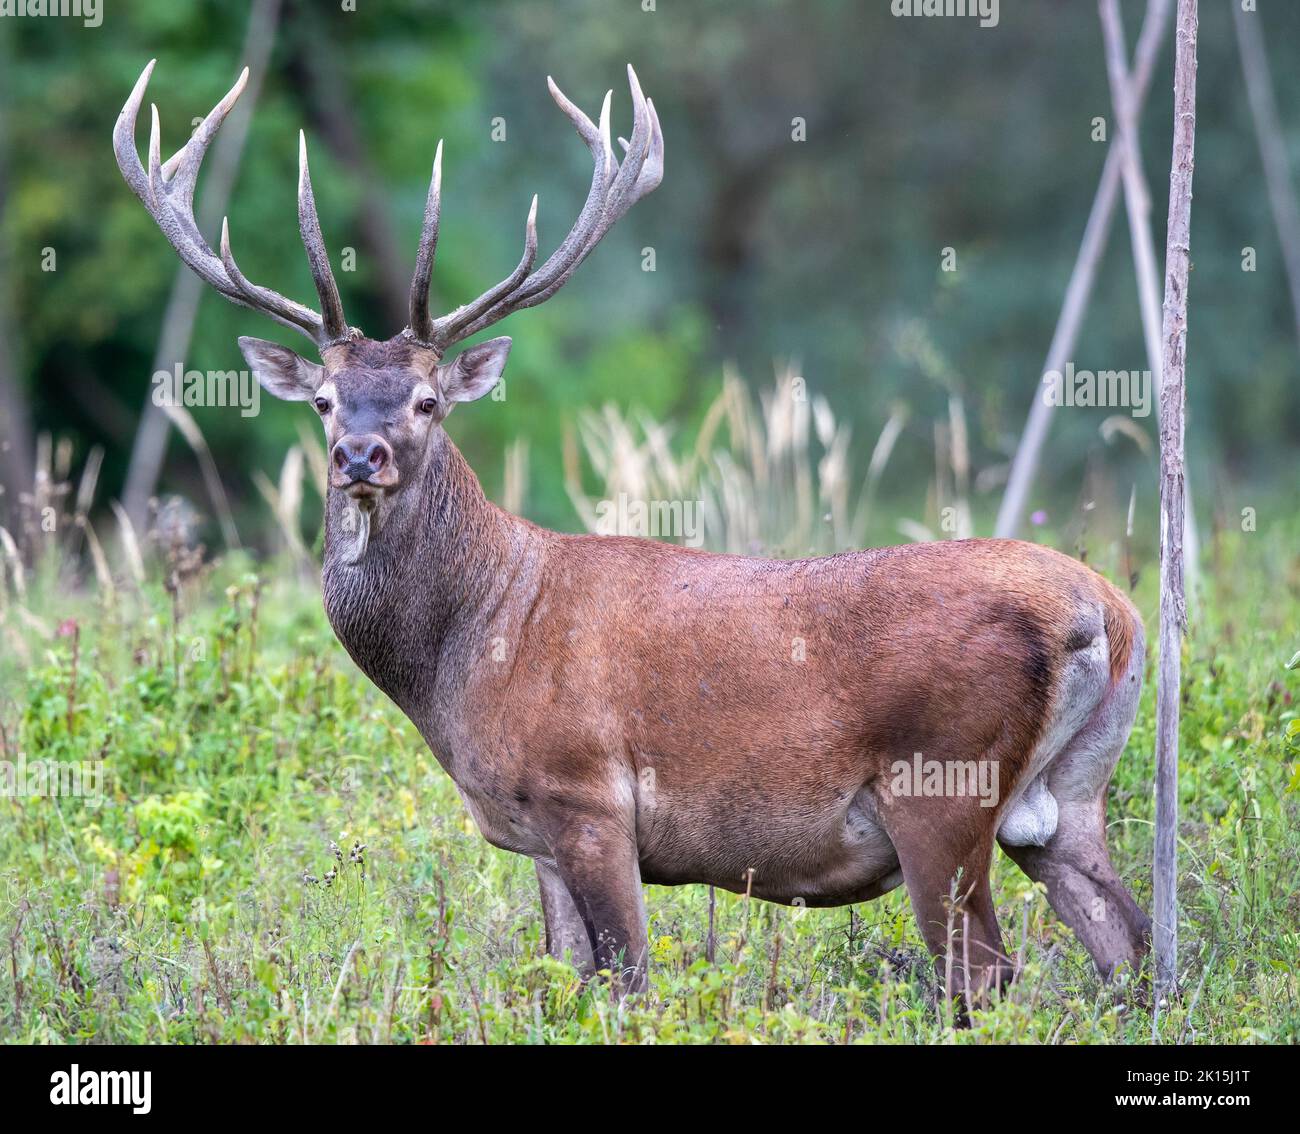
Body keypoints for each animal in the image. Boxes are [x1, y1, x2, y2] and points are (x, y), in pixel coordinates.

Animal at [114, 59, 1151, 1004]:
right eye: (325, 399)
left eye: (427, 401)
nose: (358, 456)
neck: (468, 648)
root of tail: (1105, 611)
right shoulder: (536, 832)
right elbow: (565, 979)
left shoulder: (589, 796)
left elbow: (627, 980)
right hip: (1070, 797)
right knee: (1132, 946)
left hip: (939, 789)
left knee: (987, 972)